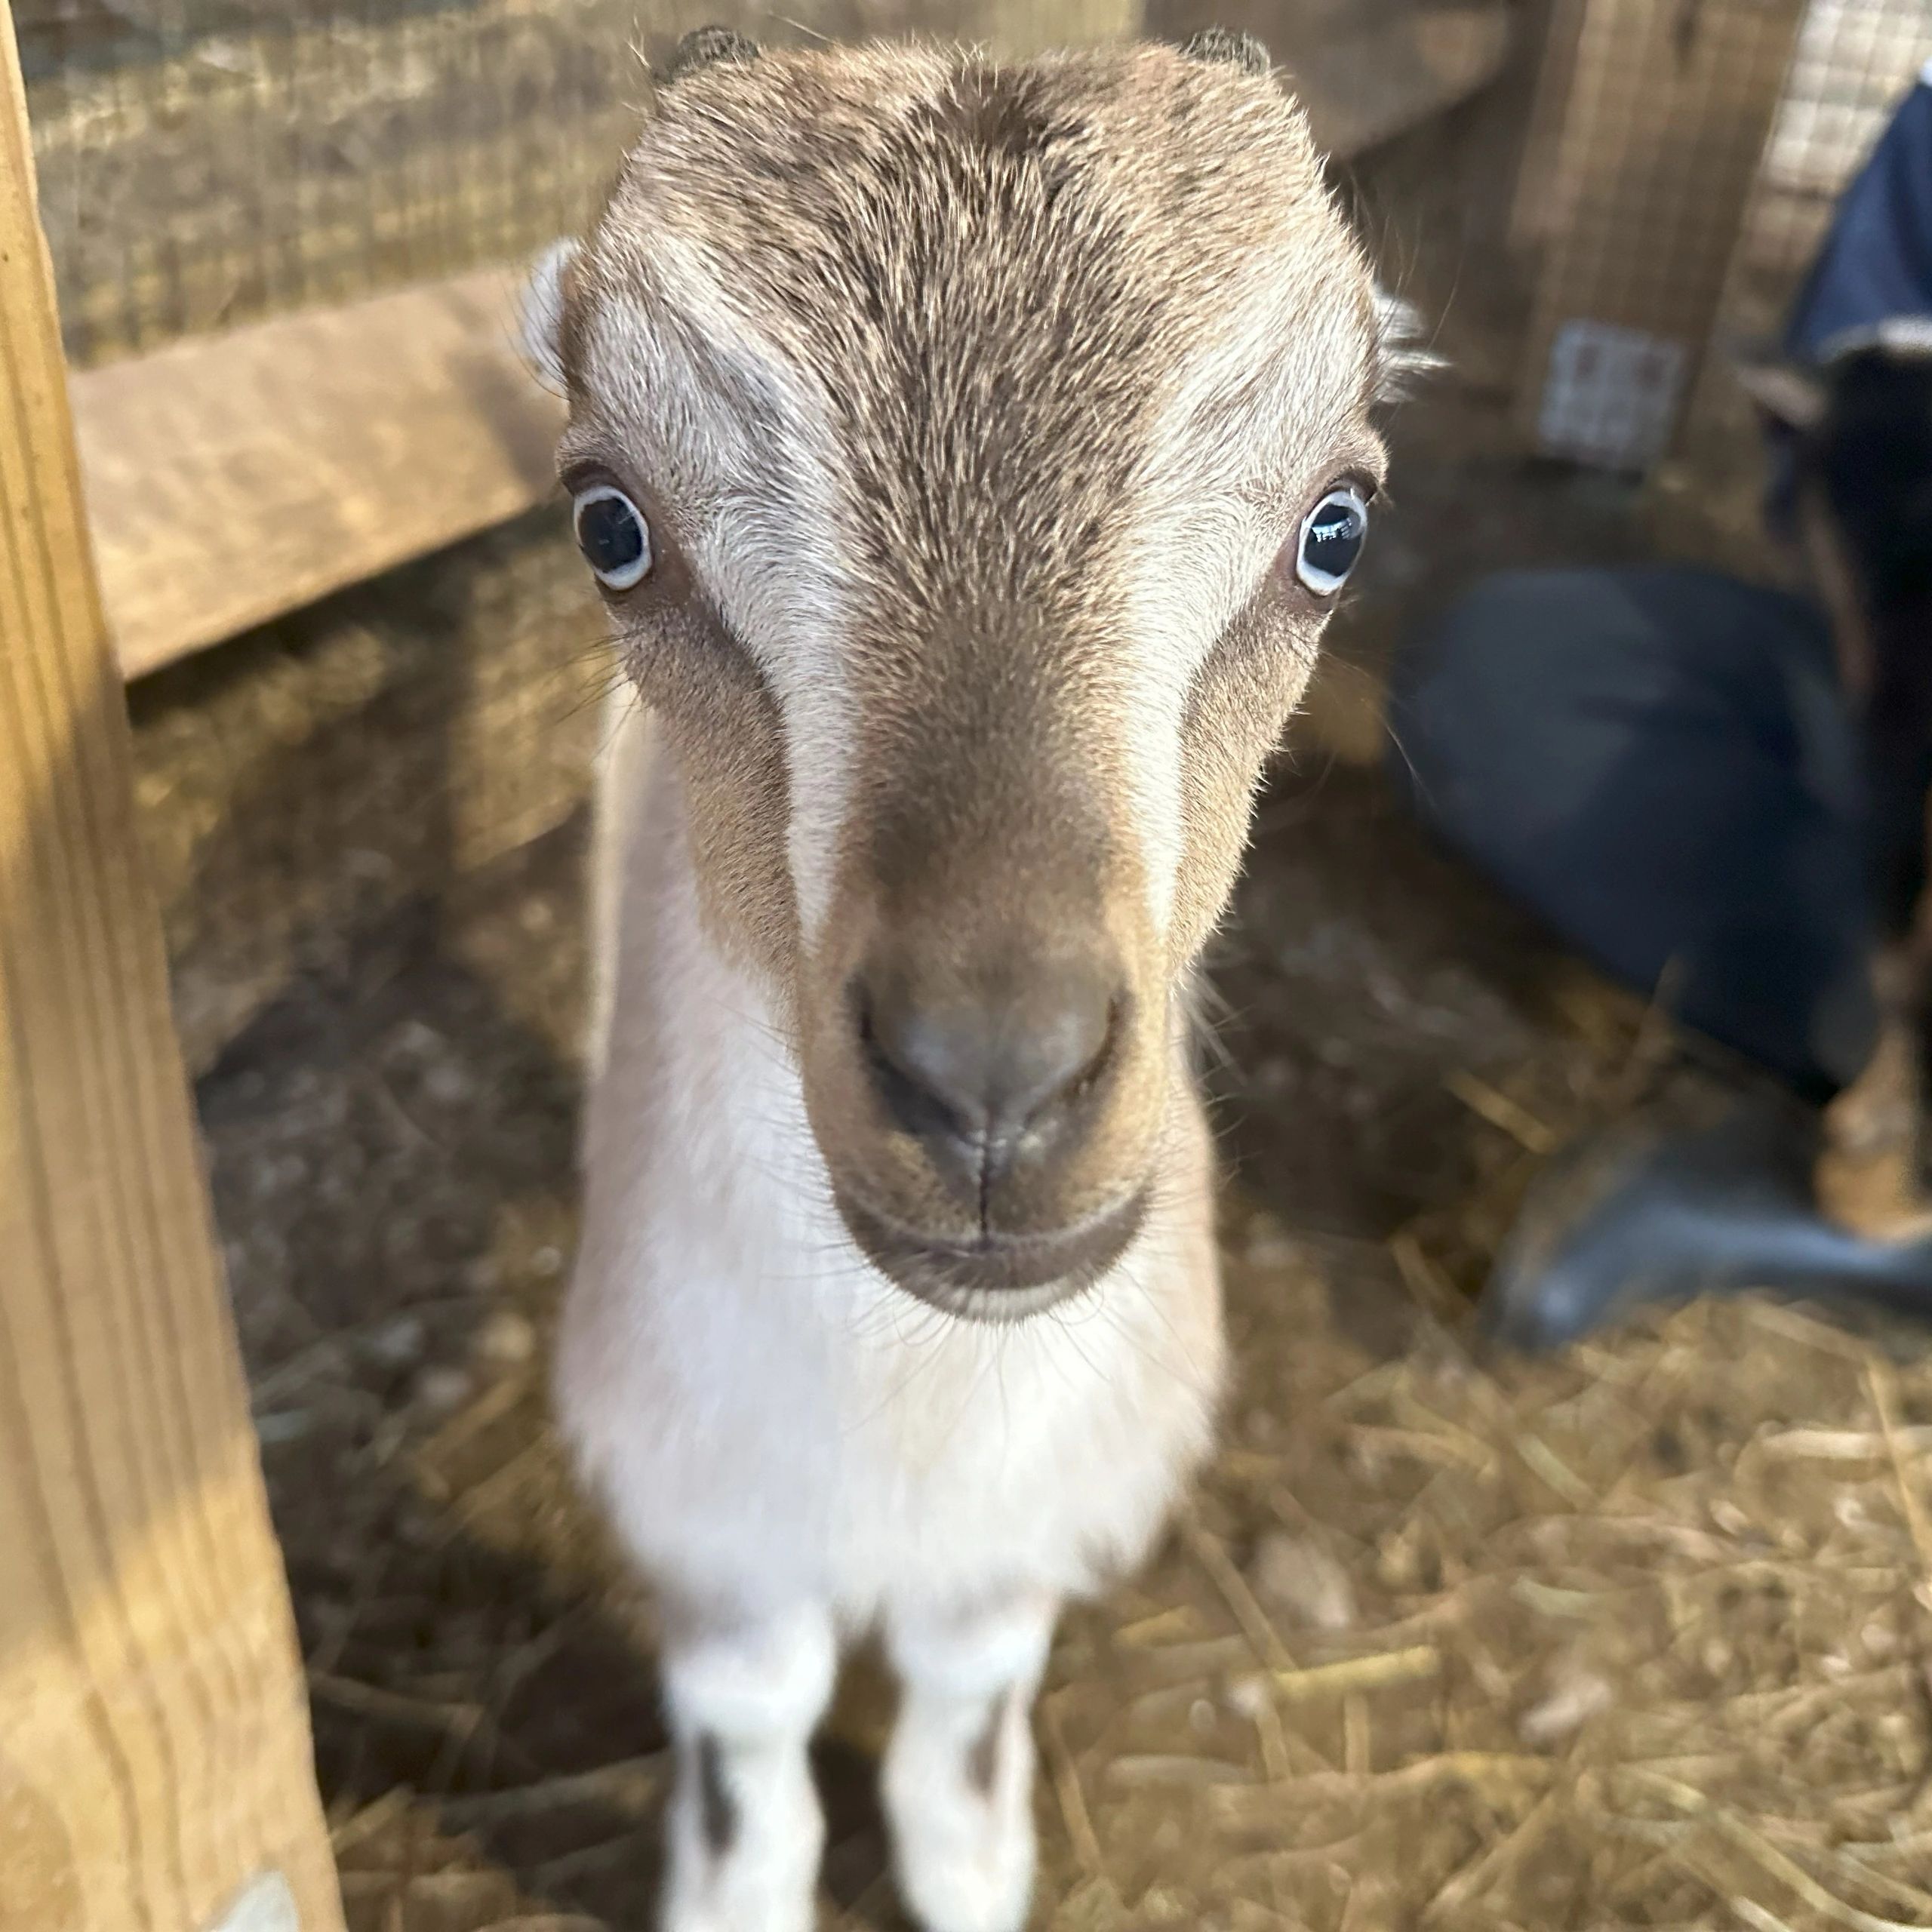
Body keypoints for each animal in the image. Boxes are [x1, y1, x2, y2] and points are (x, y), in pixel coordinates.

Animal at [525, 29, 1413, 1932]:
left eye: (1334, 528)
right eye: (611, 525)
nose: (991, 1075)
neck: (912, 1422)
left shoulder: (1016, 1546)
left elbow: (955, 1747)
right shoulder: (712, 1525)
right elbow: (753, 1767)